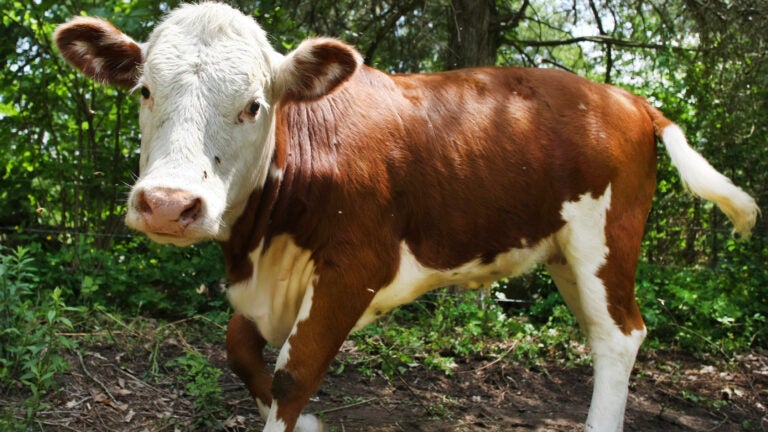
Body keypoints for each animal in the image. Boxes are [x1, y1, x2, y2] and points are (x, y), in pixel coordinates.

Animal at [54, 3, 758, 431]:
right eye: (145, 90)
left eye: (254, 104)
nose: (169, 203)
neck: (259, 244)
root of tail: (628, 99)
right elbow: (239, 349)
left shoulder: (356, 264)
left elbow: (294, 372)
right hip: (565, 250)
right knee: (604, 331)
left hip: (606, 240)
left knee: (620, 335)